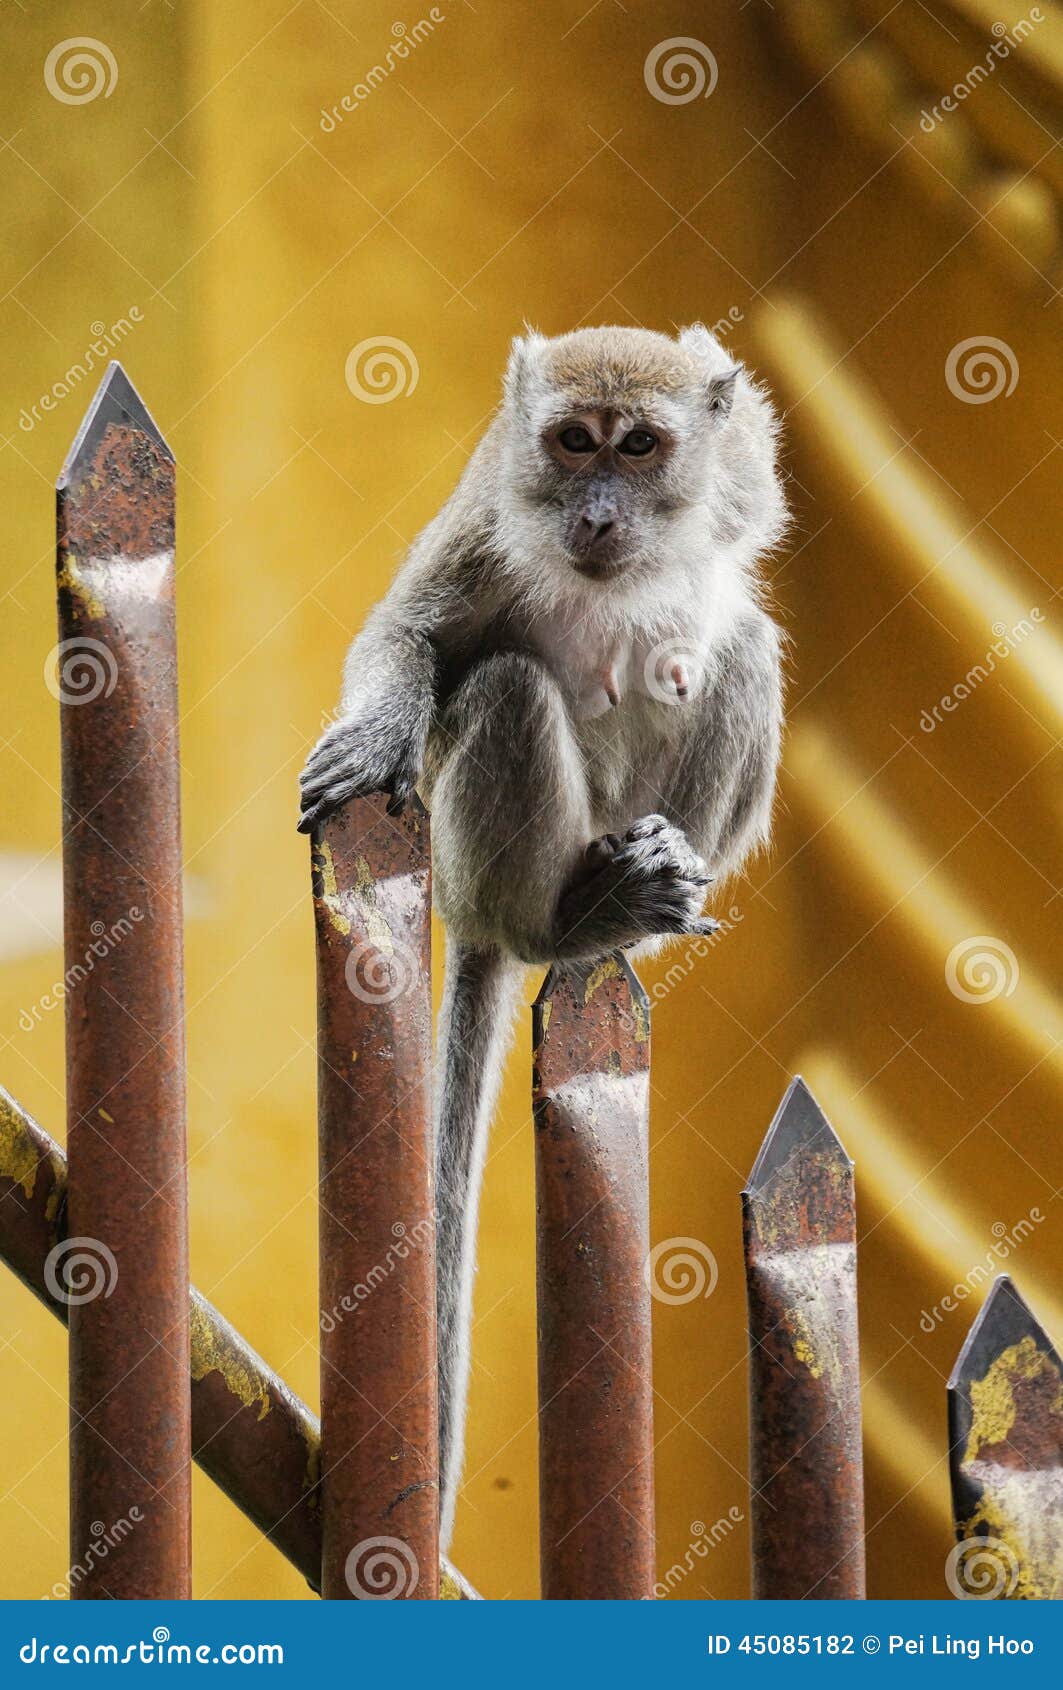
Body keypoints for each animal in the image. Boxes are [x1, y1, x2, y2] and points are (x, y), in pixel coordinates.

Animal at [298, 323, 787, 1550]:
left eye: (637, 446)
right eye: (572, 442)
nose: (598, 513)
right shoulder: (487, 517)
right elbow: (414, 634)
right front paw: (377, 732)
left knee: (745, 646)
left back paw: (645, 890)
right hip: (496, 867)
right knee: (512, 687)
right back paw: (567, 922)